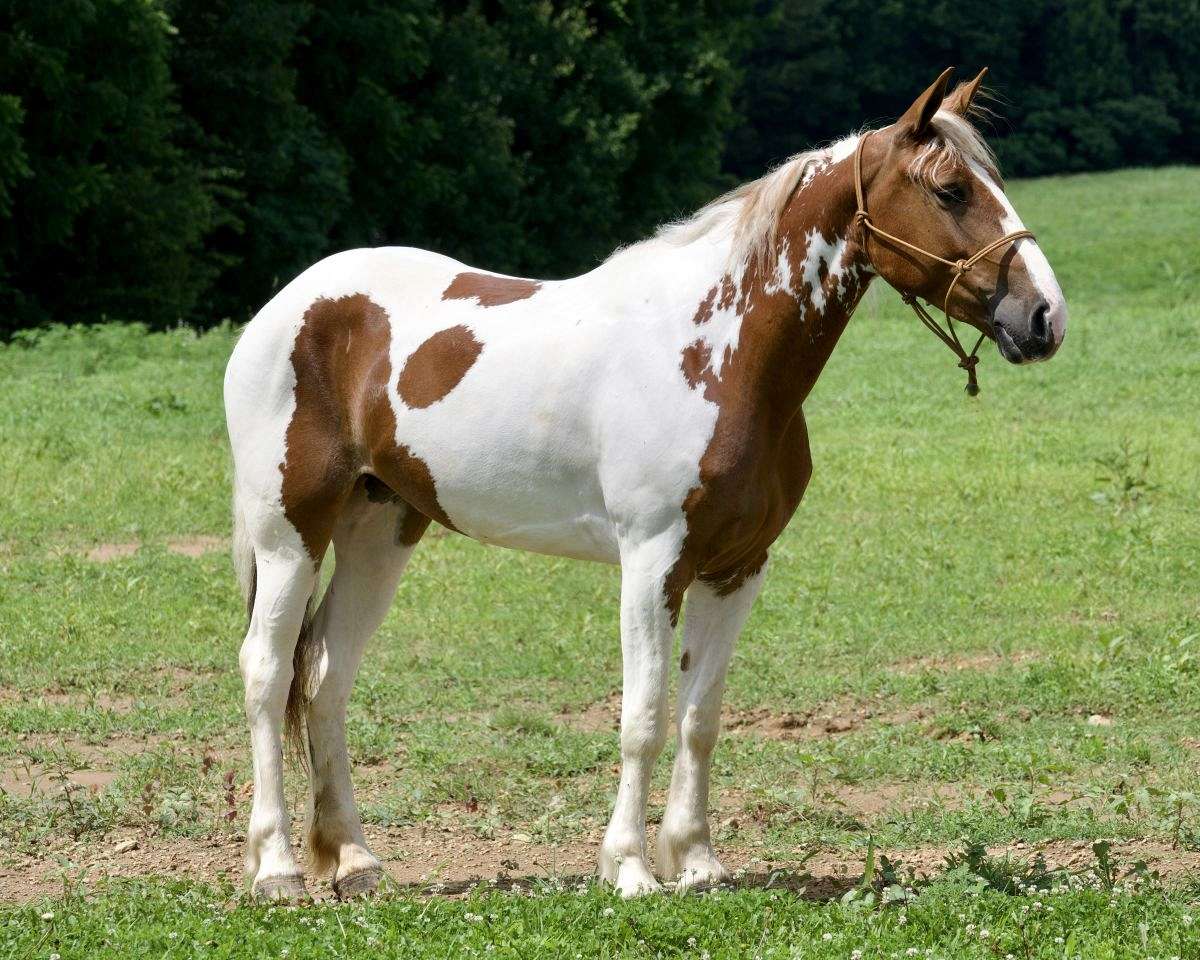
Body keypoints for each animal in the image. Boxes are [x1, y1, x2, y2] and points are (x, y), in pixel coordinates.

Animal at [224, 67, 1066, 901]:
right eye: (951, 190)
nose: (1044, 317)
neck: (713, 349)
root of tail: (283, 308)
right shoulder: (652, 562)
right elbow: (644, 718)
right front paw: (629, 867)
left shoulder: (736, 569)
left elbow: (700, 717)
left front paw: (695, 861)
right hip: (290, 533)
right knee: (267, 672)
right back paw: (277, 869)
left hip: (381, 528)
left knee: (326, 675)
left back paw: (354, 861)